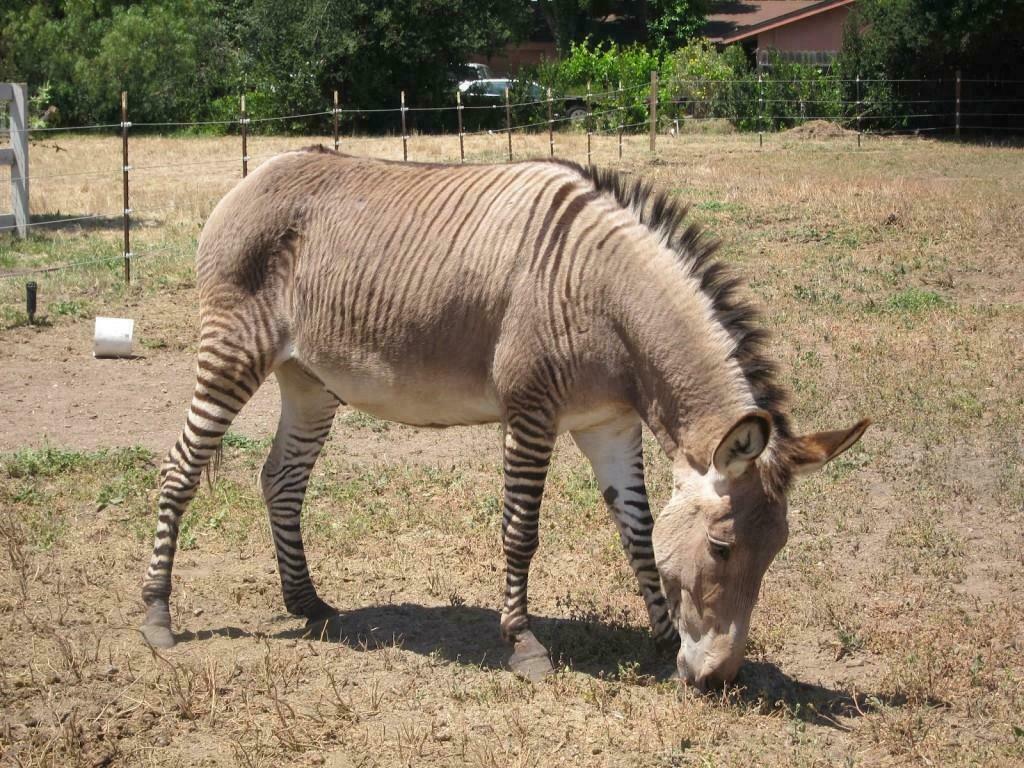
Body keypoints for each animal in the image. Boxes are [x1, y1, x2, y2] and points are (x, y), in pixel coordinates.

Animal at [141, 147, 867, 687]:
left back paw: (308, 605)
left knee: (282, 480)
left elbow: (638, 532)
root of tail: (260, 170)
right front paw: (523, 645)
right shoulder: (531, 411)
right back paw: (157, 617)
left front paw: (662, 640)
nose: (718, 681)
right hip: (233, 351)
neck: (607, 301)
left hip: (310, 380)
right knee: (179, 470)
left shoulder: (608, 423)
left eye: (777, 550)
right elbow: (521, 533)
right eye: (722, 549)